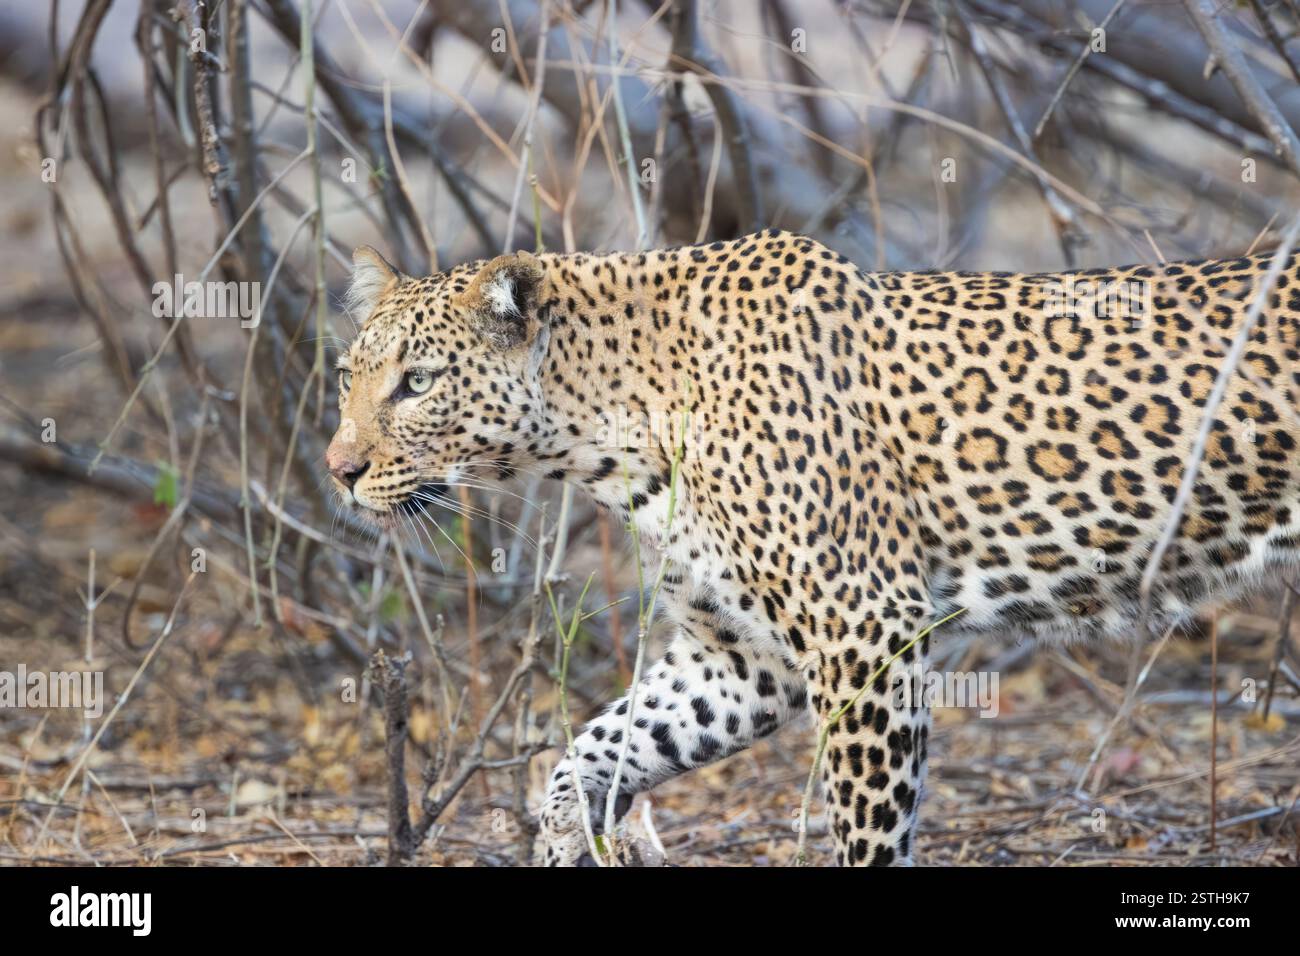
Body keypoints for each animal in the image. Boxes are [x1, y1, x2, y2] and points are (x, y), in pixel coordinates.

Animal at [327, 228, 1300, 866]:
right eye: (348, 377)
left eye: (418, 383)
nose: (337, 470)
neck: (605, 432)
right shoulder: (742, 658)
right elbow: (596, 746)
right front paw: (569, 837)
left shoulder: (863, 630)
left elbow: (864, 832)